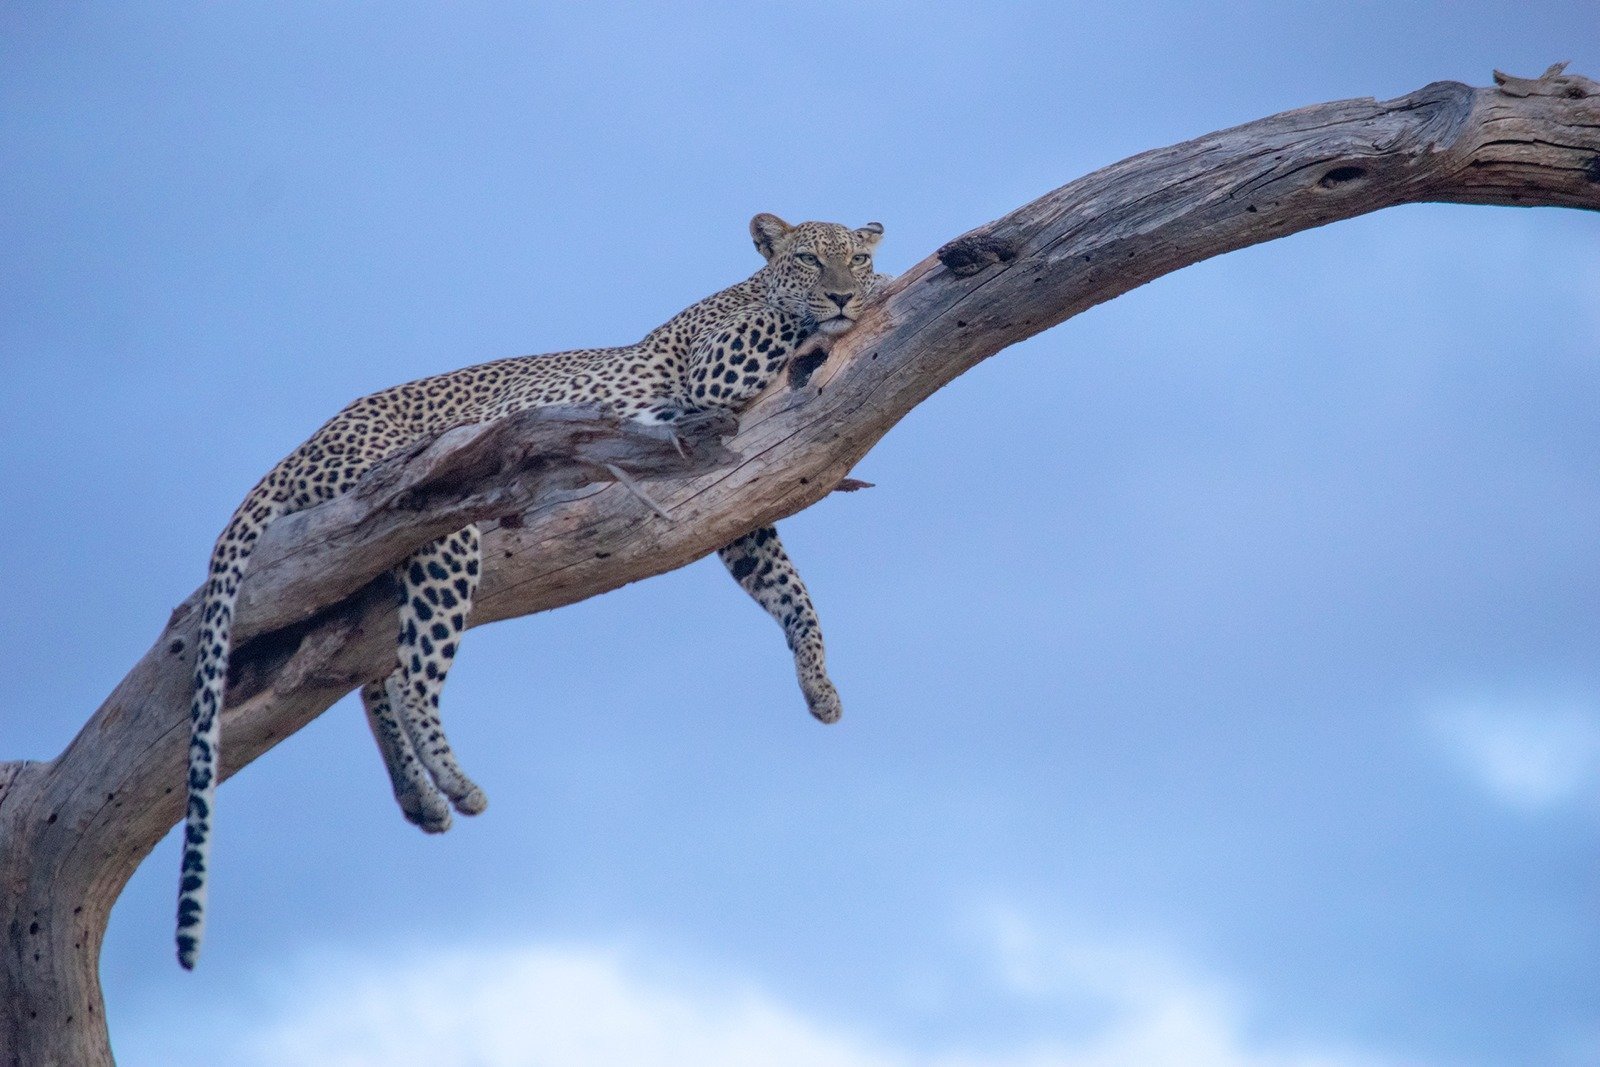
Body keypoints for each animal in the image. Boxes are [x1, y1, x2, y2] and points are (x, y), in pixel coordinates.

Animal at [176, 213, 888, 969]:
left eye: (853, 258)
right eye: (808, 259)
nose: (844, 294)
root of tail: (297, 451)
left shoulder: (736, 497)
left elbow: (792, 593)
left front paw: (820, 687)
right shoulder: (714, 373)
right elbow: (779, 325)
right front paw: (860, 303)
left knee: (374, 677)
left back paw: (421, 797)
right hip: (434, 522)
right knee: (408, 679)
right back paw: (459, 787)